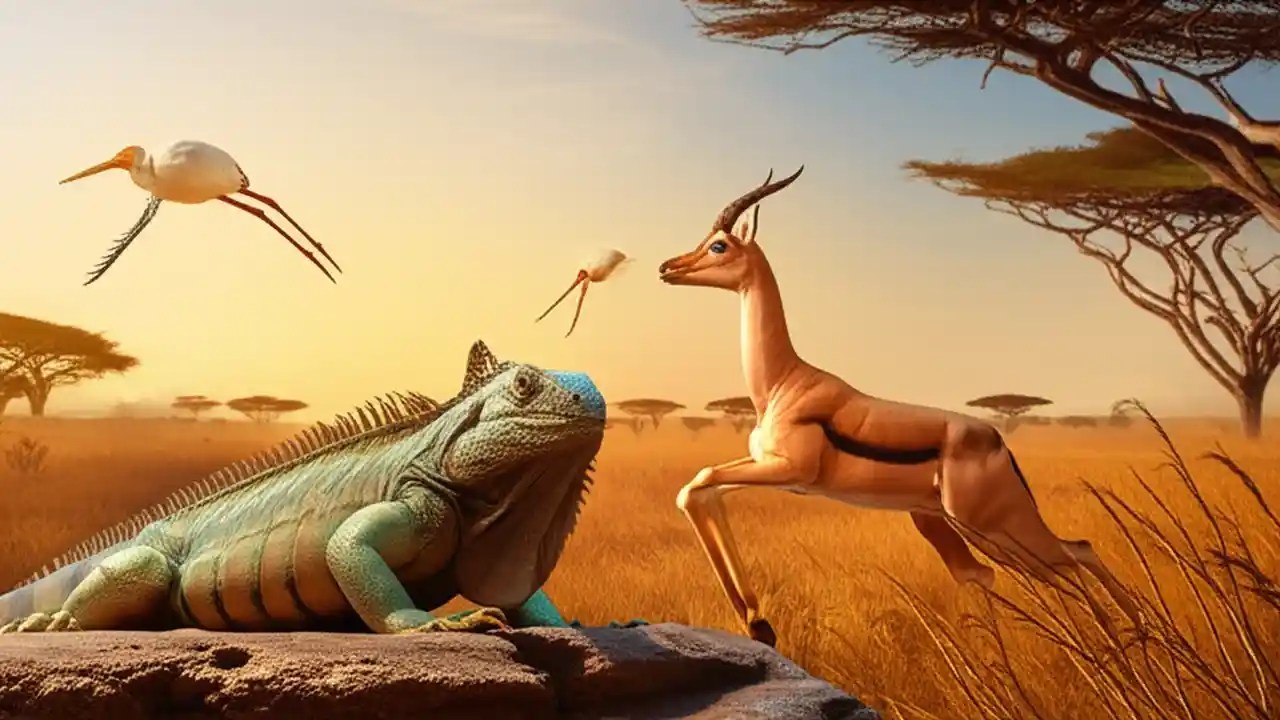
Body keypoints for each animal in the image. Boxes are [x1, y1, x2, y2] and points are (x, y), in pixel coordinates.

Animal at [657, 167, 1139, 647]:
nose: (668, 267)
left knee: (1074, 559)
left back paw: (1122, 640)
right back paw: (1132, 634)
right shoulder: (773, 471)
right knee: (1030, 566)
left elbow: (698, 483)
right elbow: (698, 488)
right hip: (961, 529)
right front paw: (758, 622)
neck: (781, 383)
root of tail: (997, 441)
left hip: (993, 528)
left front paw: (759, 621)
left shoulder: (789, 470)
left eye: (719, 245)